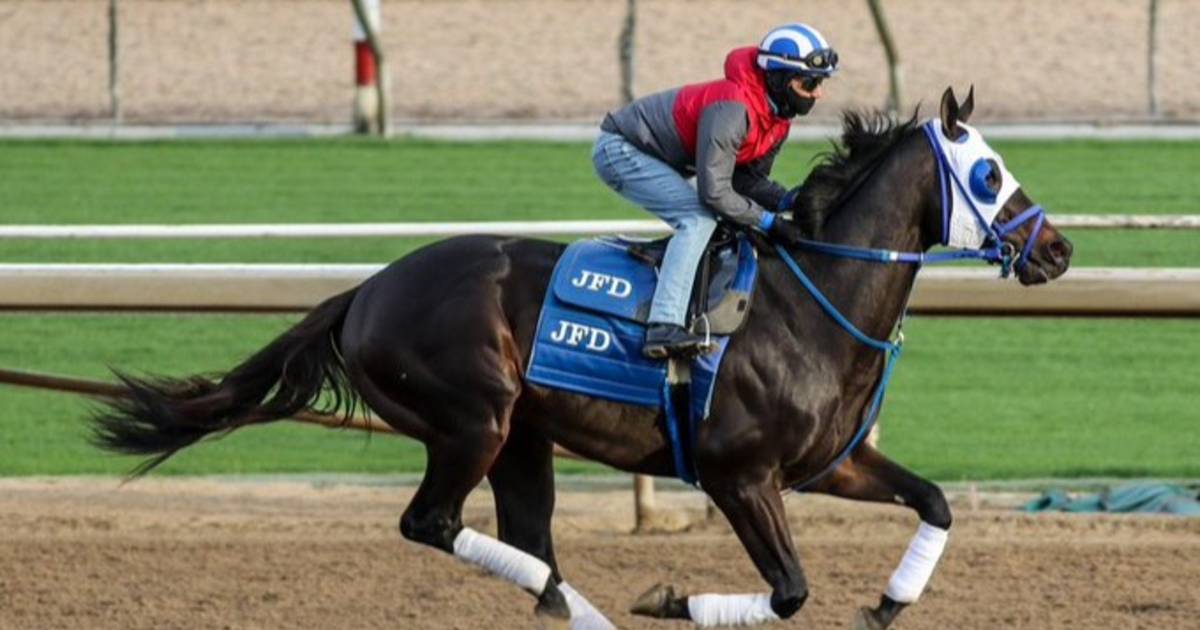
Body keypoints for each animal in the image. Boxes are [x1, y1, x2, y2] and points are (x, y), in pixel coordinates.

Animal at [92, 87, 1073, 629]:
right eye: (987, 174)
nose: (1057, 249)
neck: (808, 301)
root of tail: (365, 292)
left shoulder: (830, 465)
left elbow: (935, 503)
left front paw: (887, 601)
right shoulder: (738, 474)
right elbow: (791, 590)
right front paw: (670, 600)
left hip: (523, 440)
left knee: (527, 546)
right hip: (471, 422)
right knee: (436, 526)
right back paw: (579, 606)